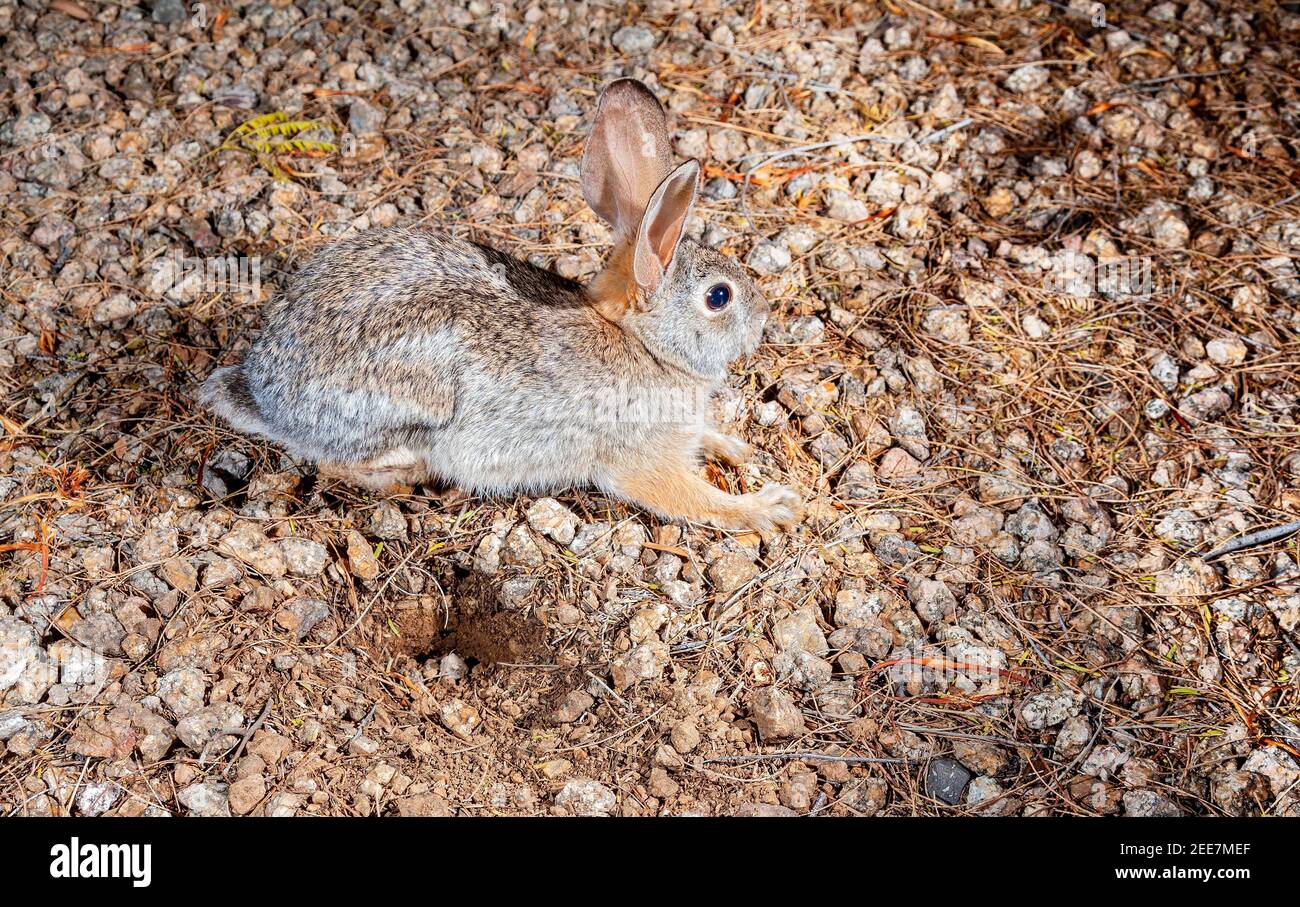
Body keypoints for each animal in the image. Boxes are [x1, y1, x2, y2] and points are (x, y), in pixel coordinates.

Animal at [202, 78, 800, 531]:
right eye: (719, 297)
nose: (765, 316)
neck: (644, 345)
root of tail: (262, 392)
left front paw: (738, 449)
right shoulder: (641, 458)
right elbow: (689, 498)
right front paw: (767, 508)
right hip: (408, 405)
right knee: (335, 464)